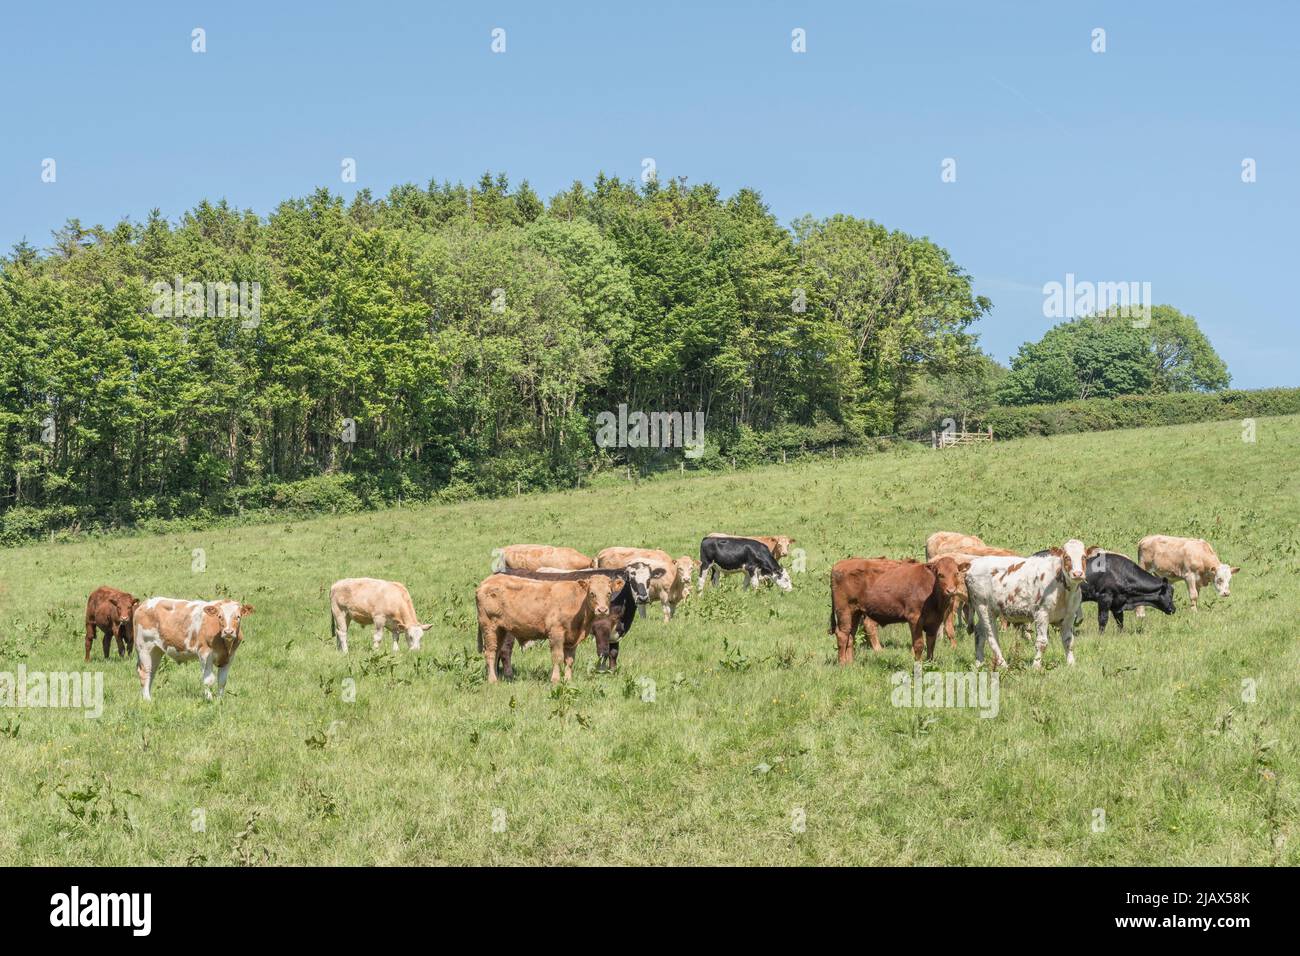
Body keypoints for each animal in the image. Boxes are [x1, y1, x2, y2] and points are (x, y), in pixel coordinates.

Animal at [832, 556, 967, 671]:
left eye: (956, 573)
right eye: (940, 575)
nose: (951, 590)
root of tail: (839, 565)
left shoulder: (935, 621)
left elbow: (931, 644)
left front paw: (930, 664)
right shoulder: (914, 619)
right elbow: (919, 644)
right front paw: (919, 666)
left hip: (855, 612)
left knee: (851, 635)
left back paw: (850, 663)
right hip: (844, 610)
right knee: (842, 635)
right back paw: (842, 664)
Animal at [967, 541, 1086, 671]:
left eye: (1084, 557)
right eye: (1066, 557)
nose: (1078, 573)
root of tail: (972, 564)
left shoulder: (1069, 616)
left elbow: (1069, 641)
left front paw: (1071, 664)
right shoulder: (1041, 613)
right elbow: (1042, 643)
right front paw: (1036, 666)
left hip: (991, 610)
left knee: (979, 632)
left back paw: (979, 663)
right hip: (983, 606)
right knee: (991, 636)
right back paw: (1003, 665)